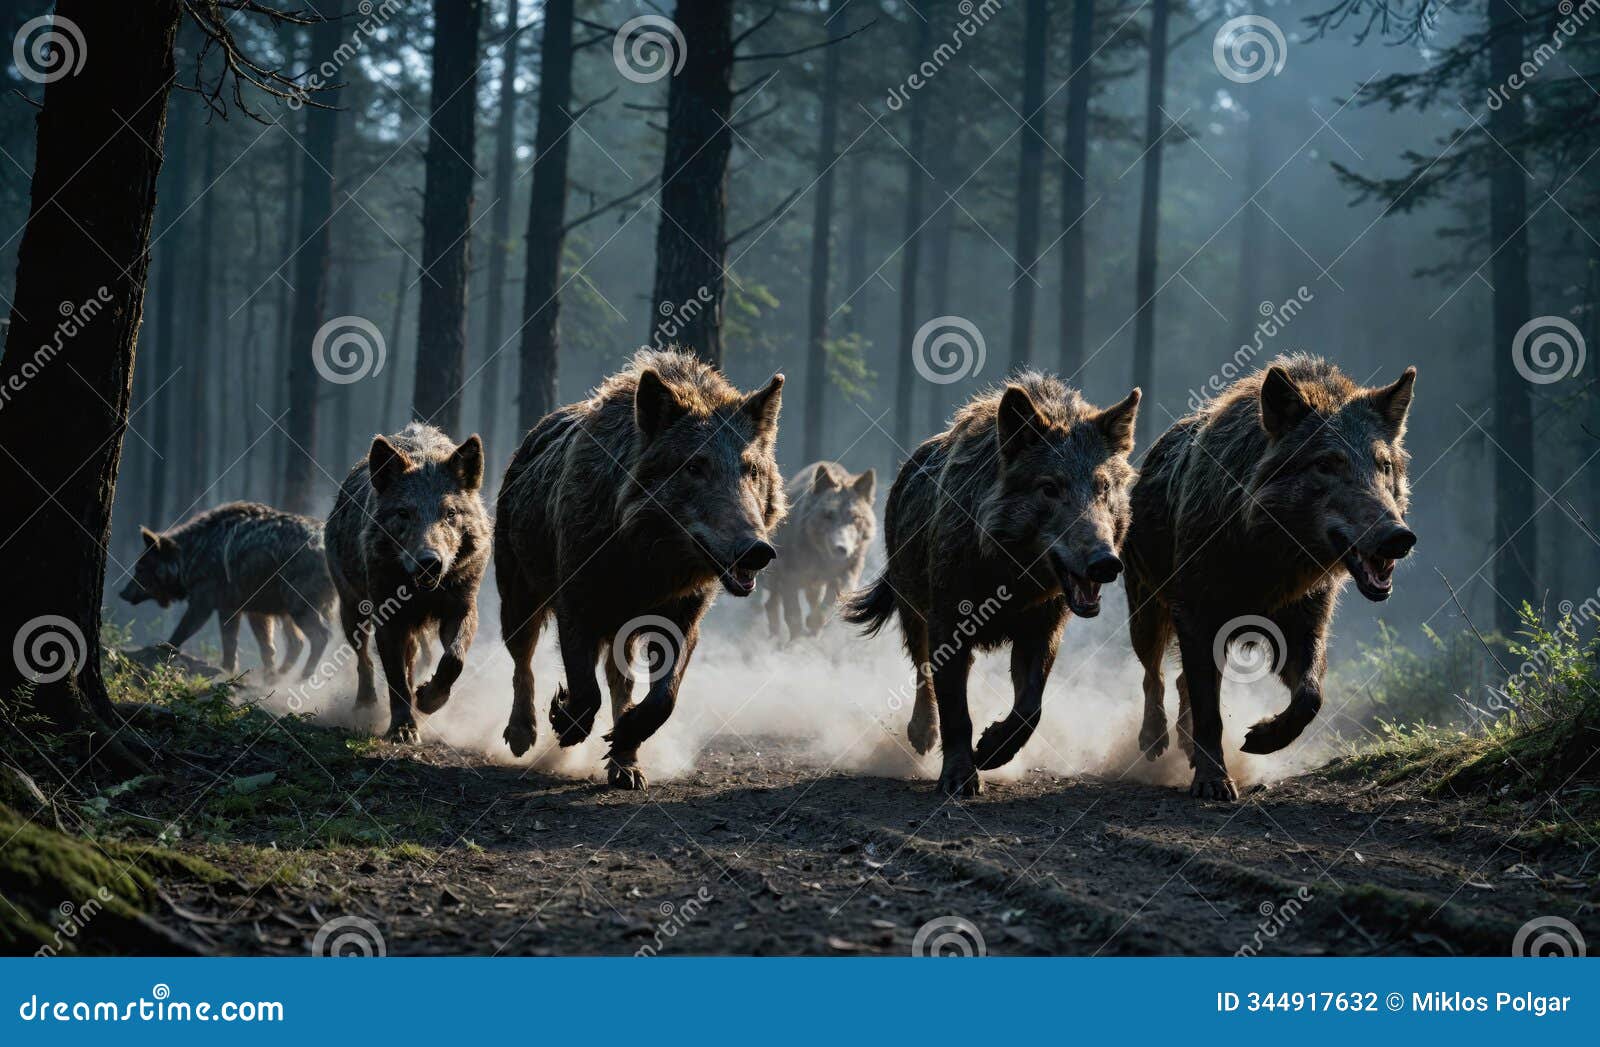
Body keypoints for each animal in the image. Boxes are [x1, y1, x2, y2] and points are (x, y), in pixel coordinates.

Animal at [324, 422, 490, 743]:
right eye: (404, 513)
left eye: (450, 513)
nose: (430, 561)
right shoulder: (388, 619)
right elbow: (395, 680)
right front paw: (402, 730)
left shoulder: (462, 609)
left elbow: (454, 659)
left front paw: (428, 700)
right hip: (353, 612)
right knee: (363, 659)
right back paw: (365, 705)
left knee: (412, 660)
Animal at [494, 348, 786, 788]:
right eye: (694, 466)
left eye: (751, 469)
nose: (756, 550)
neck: (648, 562)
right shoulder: (576, 604)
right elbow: (585, 691)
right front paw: (564, 722)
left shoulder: (683, 619)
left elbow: (662, 697)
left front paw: (624, 736)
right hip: (518, 598)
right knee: (521, 663)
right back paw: (521, 734)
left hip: (620, 632)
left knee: (621, 683)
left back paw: (626, 766)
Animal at [763, 461, 876, 641]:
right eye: (828, 515)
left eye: (855, 517)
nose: (841, 548)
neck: (822, 560)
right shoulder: (789, 576)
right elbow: (793, 615)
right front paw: (794, 642)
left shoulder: (847, 574)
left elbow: (829, 604)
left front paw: (814, 624)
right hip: (776, 576)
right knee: (771, 604)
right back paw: (773, 637)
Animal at [845, 374, 1141, 796]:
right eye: (1050, 487)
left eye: (1102, 487)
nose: (1106, 562)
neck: (1010, 580)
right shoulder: (949, 621)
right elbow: (956, 709)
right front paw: (960, 779)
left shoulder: (1043, 629)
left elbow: (1031, 706)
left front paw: (990, 753)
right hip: (911, 606)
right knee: (921, 670)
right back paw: (921, 736)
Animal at [1124, 355, 1417, 800]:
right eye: (1326, 463)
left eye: (1384, 465)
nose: (1397, 536)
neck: (1270, 559)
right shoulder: (1196, 616)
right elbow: (1210, 712)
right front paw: (1214, 782)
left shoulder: (1305, 626)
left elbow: (1311, 697)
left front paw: (1261, 738)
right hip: (1146, 612)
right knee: (1153, 675)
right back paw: (1153, 741)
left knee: (1178, 682)